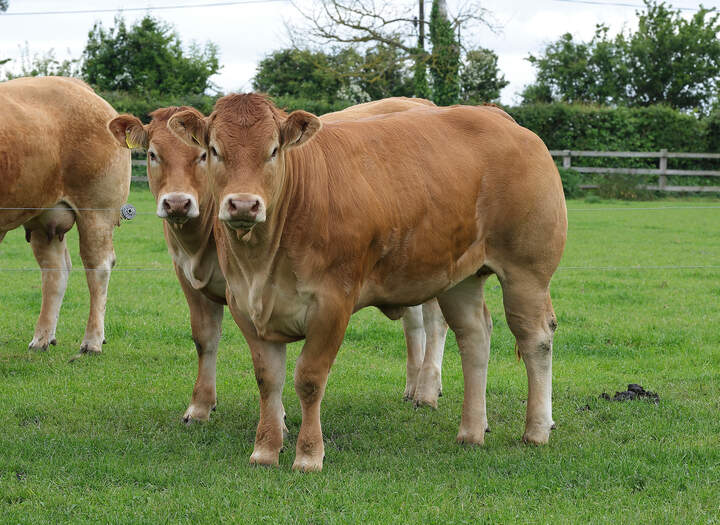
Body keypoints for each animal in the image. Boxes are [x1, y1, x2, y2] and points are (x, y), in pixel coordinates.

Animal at [0, 76, 131, 356]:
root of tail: (79, 86)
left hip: (96, 212)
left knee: (98, 268)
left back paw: (92, 341)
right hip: (43, 218)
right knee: (55, 271)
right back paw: (42, 339)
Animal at [107, 97, 451, 424]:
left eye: (202, 156)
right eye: (153, 154)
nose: (178, 203)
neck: (199, 244)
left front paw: (278, 415)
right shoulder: (188, 278)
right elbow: (205, 338)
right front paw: (200, 406)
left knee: (435, 323)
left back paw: (427, 391)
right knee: (413, 322)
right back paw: (412, 386)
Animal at [167, 93, 567, 471]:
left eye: (274, 150)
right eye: (214, 151)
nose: (243, 205)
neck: (261, 263)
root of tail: (497, 116)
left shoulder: (333, 303)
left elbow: (309, 379)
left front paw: (308, 455)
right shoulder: (245, 305)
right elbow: (269, 379)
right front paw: (265, 450)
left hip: (526, 270)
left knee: (535, 339)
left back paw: (536, 429)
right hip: (460, 277)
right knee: (474, 337)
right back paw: (471, 430)